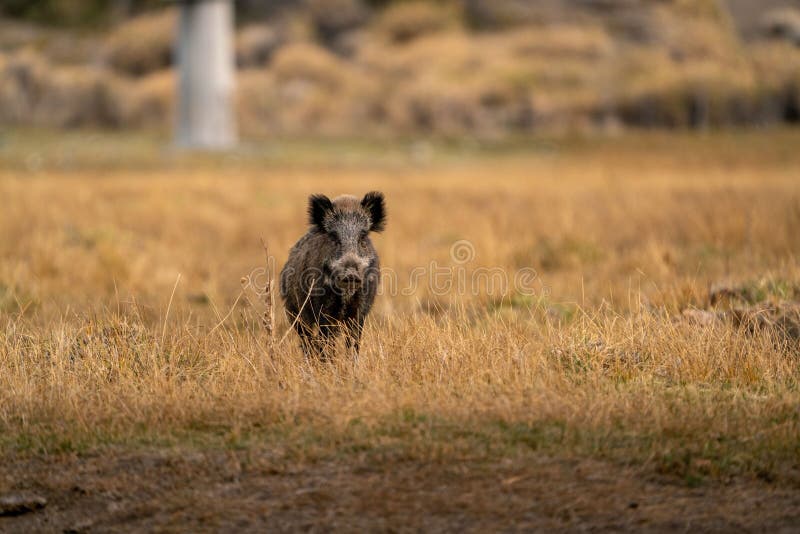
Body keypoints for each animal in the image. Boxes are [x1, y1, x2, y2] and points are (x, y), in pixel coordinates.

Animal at [280, 191, 386, 359]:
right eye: (334, 238)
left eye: (362, 238)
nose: (351, 274)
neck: (345, 296)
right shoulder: (323, 309)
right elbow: (326, 341)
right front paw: (330, 362)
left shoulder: (360, 309)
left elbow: (353, 342)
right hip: (294, 311)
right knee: (307, 341)